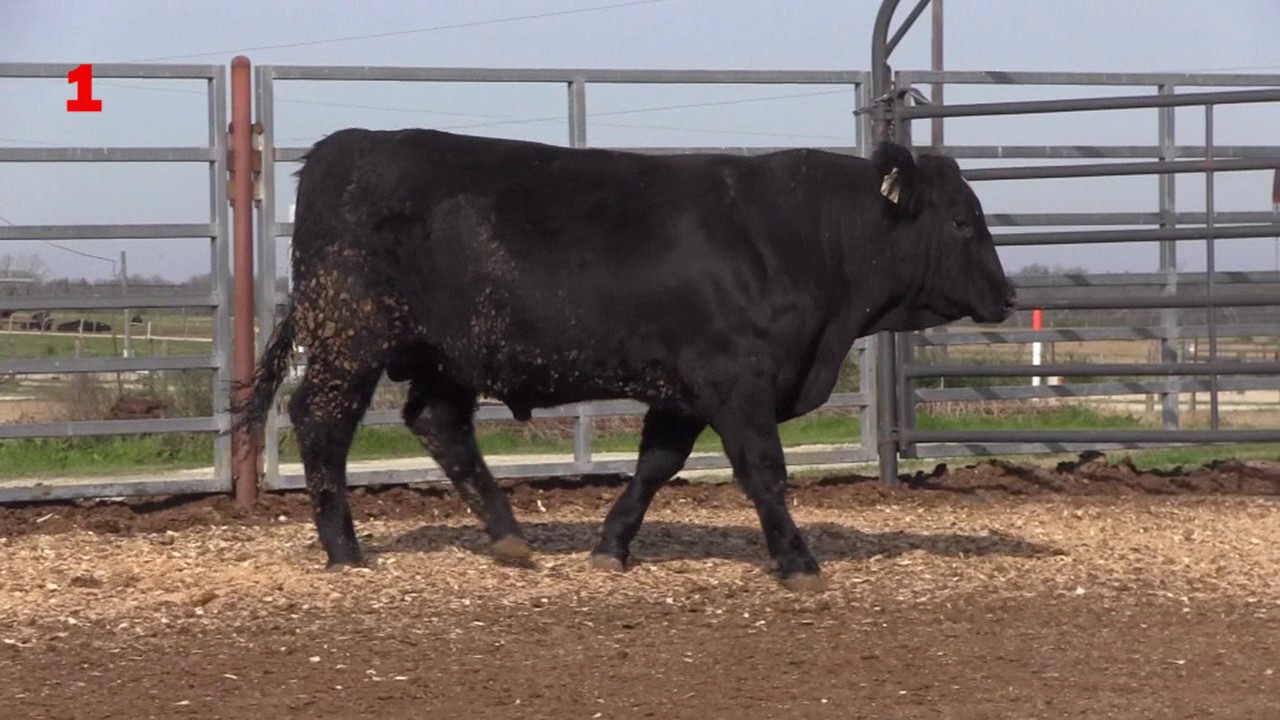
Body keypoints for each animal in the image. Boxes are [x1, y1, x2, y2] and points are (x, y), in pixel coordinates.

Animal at [235, 128, 1016, 592]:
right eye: (962, 220)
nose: (1007, 294)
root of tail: (343, 147)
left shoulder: (684, 392)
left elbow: (656, 466)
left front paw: (611, 545)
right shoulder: (734, 378)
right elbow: (763, 471)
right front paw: (798, 562)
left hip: (443, 354)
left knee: (439, 423)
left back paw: (510, 539)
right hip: (349, 341)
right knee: (322, 422)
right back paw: (344, 548)